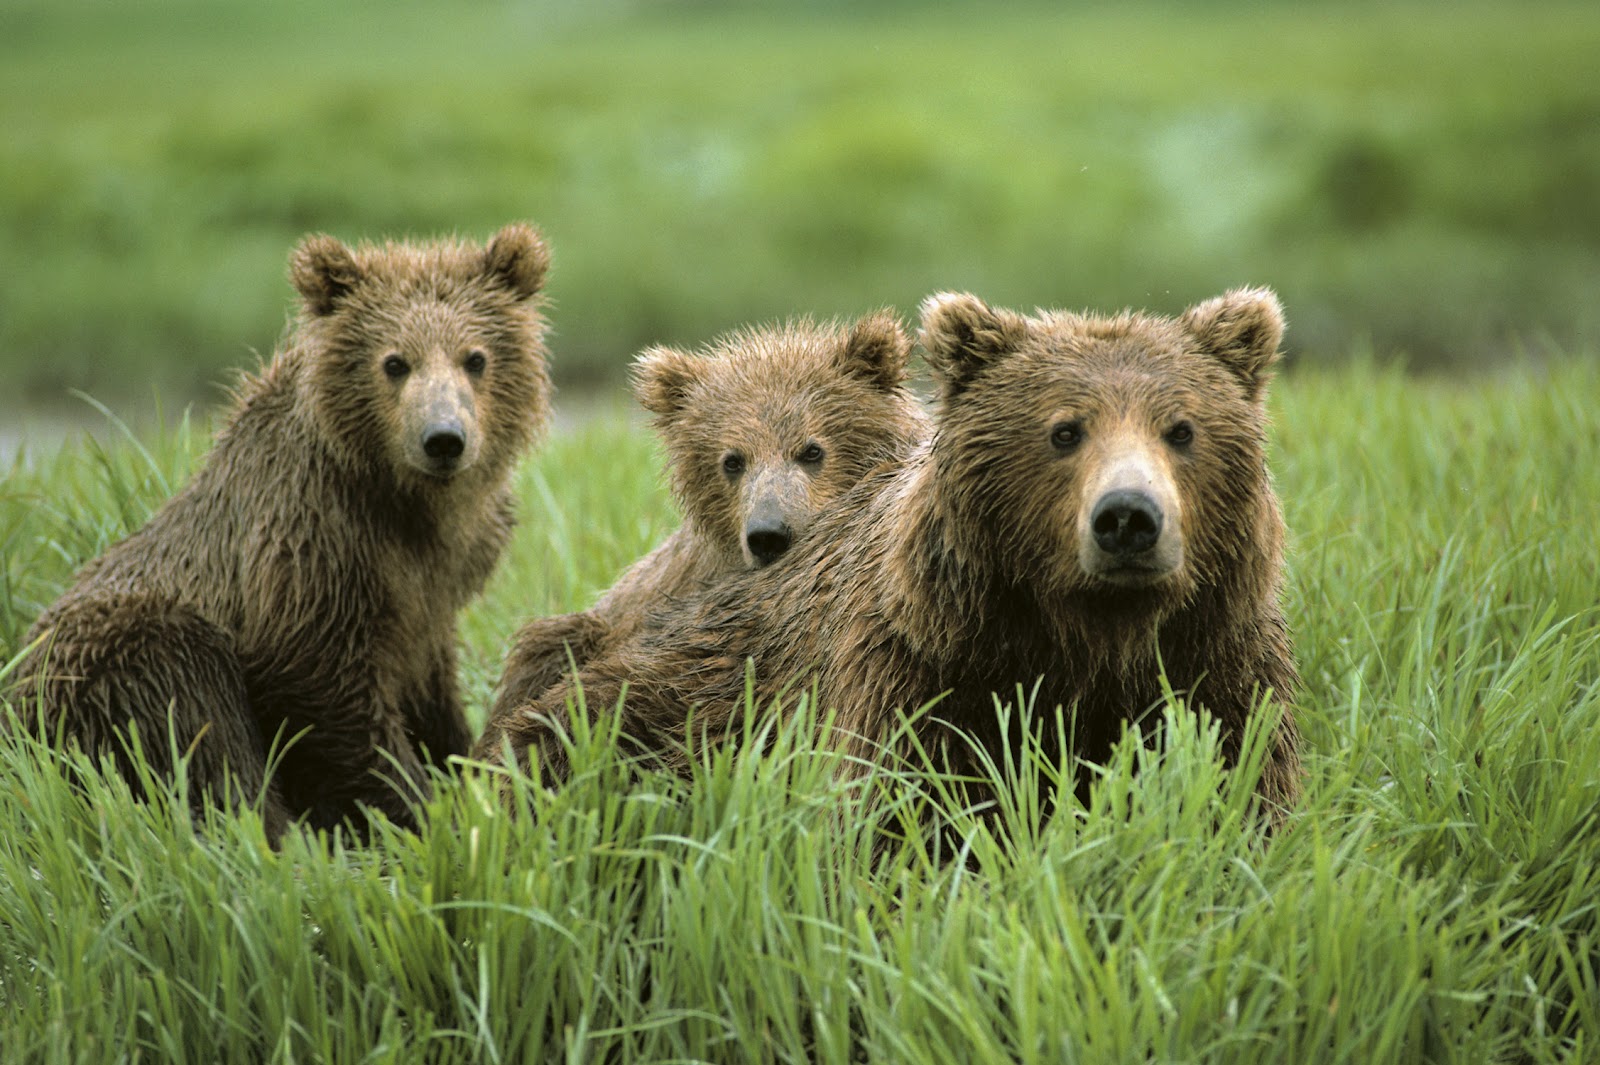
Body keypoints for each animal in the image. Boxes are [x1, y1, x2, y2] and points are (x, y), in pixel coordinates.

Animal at [5, 223, 553, 842]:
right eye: (395, 362)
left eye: (475, 357)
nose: (443, 439)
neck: (405, 504)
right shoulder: (312, 543)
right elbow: (322, 690)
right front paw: (422, 808)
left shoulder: (436, 585)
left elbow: (431, 686)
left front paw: (461, 762)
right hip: (119, 656)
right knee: (196, 725)